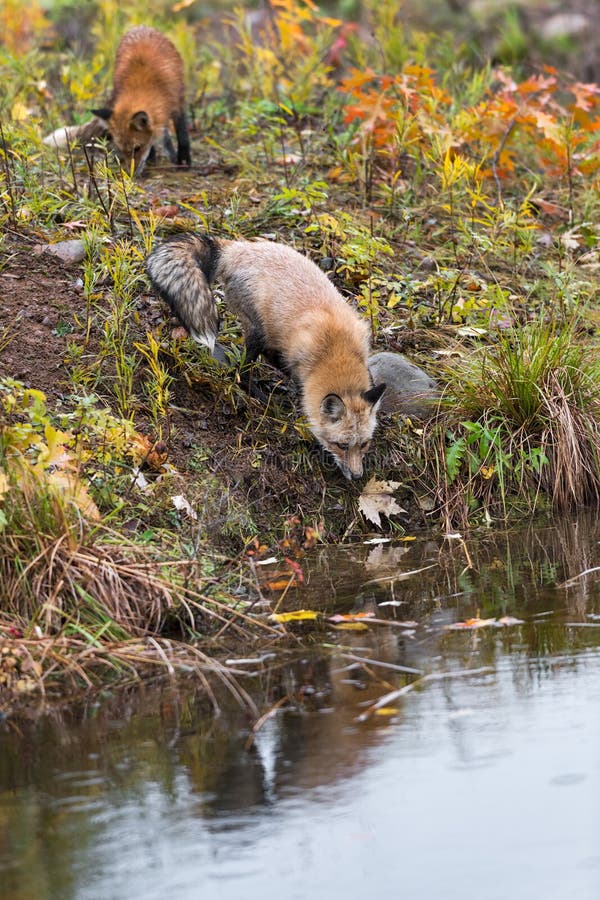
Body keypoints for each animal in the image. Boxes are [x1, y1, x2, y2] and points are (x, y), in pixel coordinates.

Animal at [90, 26, 191, 174]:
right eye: (121, 150)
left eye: (137, 148)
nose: (130, 174)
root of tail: (140, 26)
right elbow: (153, 140)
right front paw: (151, 158)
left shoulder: (177, 102)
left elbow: (182, 135)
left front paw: (184, 160)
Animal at [146, 234, 387, 479]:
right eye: (342, 445)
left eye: (364, 444)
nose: (357, 476)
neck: (336, 350)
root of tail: (238, 248)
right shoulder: (296, 360)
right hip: (258, 332)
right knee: (242, 373)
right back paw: (262, 396)